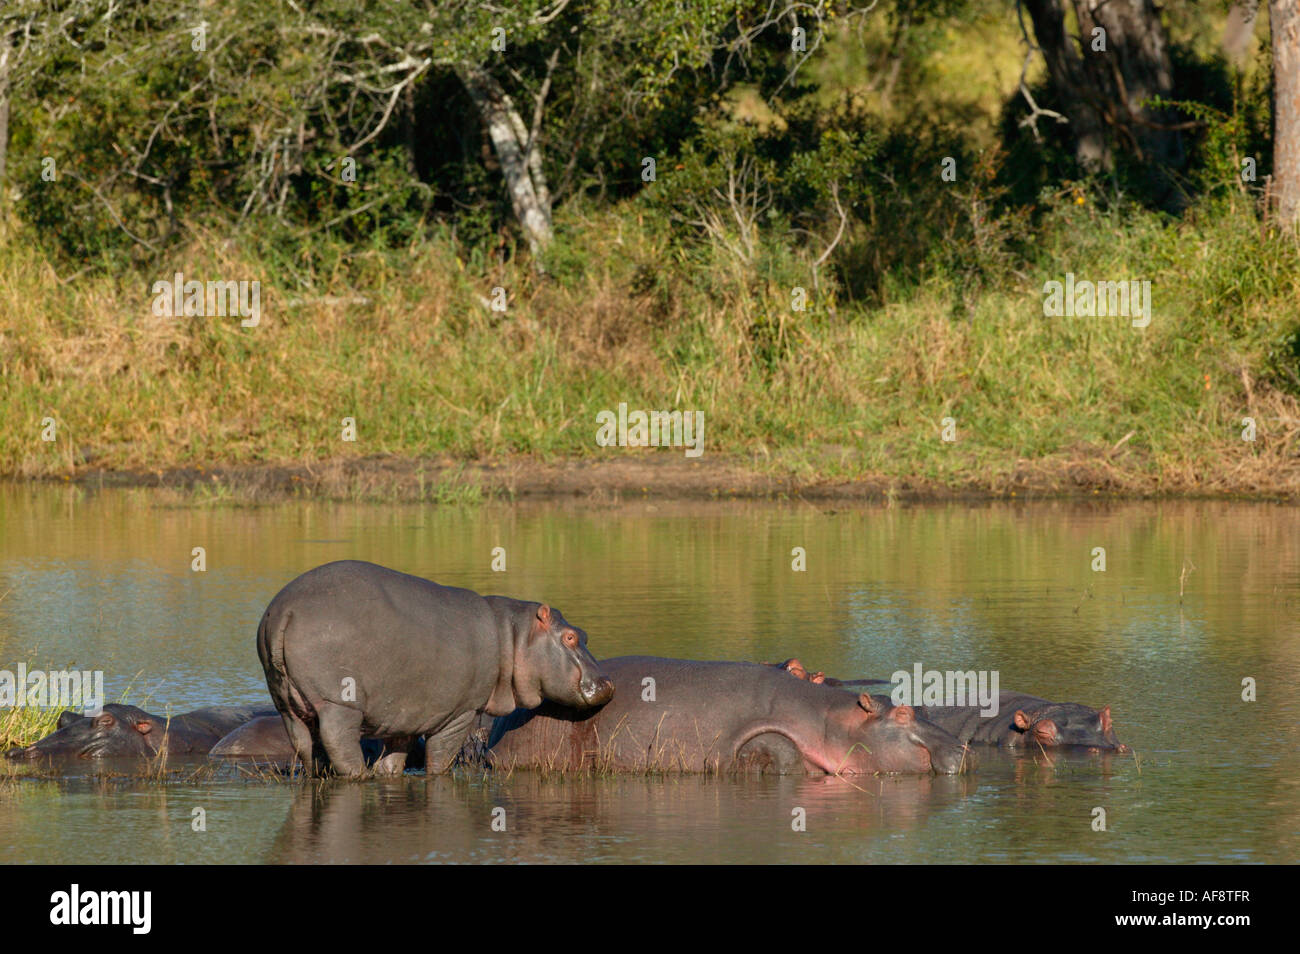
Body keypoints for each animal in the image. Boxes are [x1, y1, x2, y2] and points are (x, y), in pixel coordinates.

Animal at [256, 560, 614, 777]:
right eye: (569, 637)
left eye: (583, 633)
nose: (607, 684)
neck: (512, 636)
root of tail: (284, 611)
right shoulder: (460, 712)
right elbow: (441, 756)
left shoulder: (403, 714)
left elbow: (396, 756)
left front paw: (387, 774)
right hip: (338, 703)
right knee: (337, 741)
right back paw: (359, 775)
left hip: (287, 703)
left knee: (304, 744)